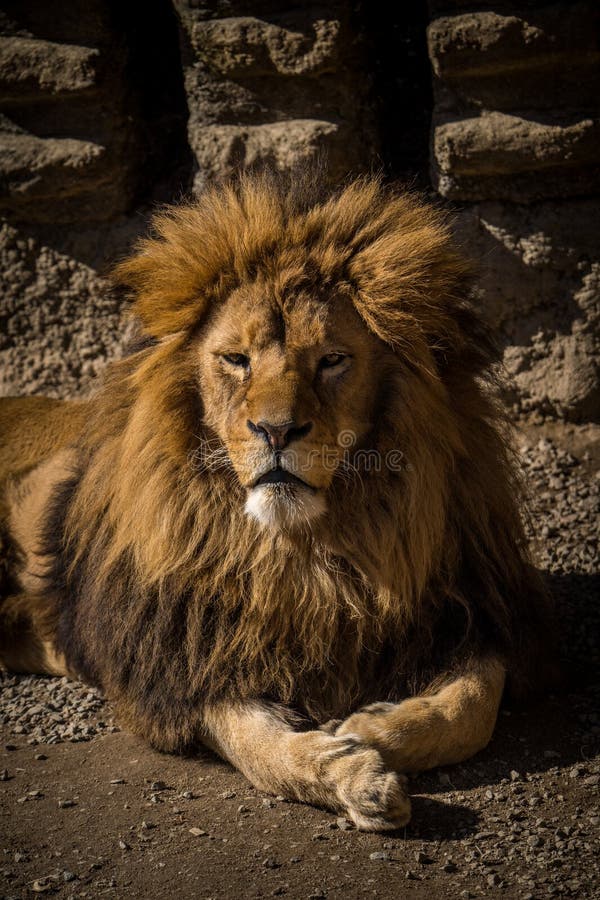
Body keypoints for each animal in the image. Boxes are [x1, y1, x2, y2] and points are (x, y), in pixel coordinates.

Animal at [0, 171, 554, 831]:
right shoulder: (185, 659)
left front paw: (372, 727)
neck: (302, 553)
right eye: (236, 360)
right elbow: (260, 745)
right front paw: (352, 773)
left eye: (332, 360)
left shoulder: (464, 608)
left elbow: (475, 704)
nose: (276, 430)